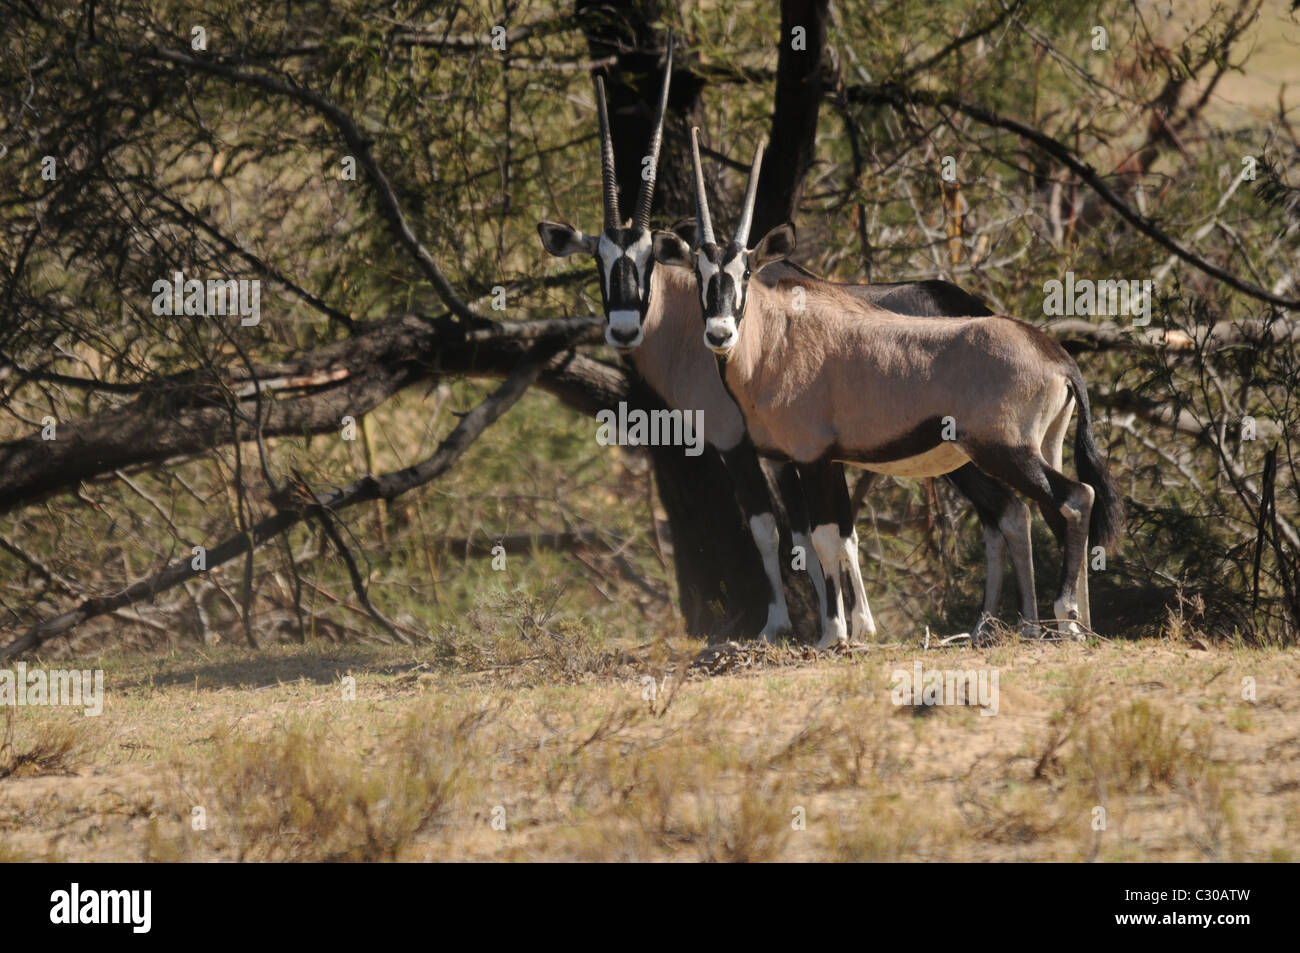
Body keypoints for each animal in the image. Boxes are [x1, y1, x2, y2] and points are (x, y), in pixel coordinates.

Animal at [536, 40, 1039, 644]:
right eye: (600, 259)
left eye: (648, 258)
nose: (624, 327)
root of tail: (970, 305)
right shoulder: (786, 451)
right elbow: (816, 534)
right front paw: (844, 623)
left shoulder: (736, 442)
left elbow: (773, 530)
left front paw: (791, 625)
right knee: (995, 516)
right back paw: (987, 622)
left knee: (1006, 511)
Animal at [652, 133, 1124, 647]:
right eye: (700, 275)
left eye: (745, 273)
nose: (719, 334)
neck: (775, 339)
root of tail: (1056, 355)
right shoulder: (816, 460)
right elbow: (831, 538)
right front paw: (849, 631)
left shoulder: (811, 457)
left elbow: (822, 538)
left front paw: (834, 636)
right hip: (1041, 447)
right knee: (1056, 510)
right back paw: (1072, 624)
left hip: (1005, 452)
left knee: (1073, 499)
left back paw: (1062, 618)